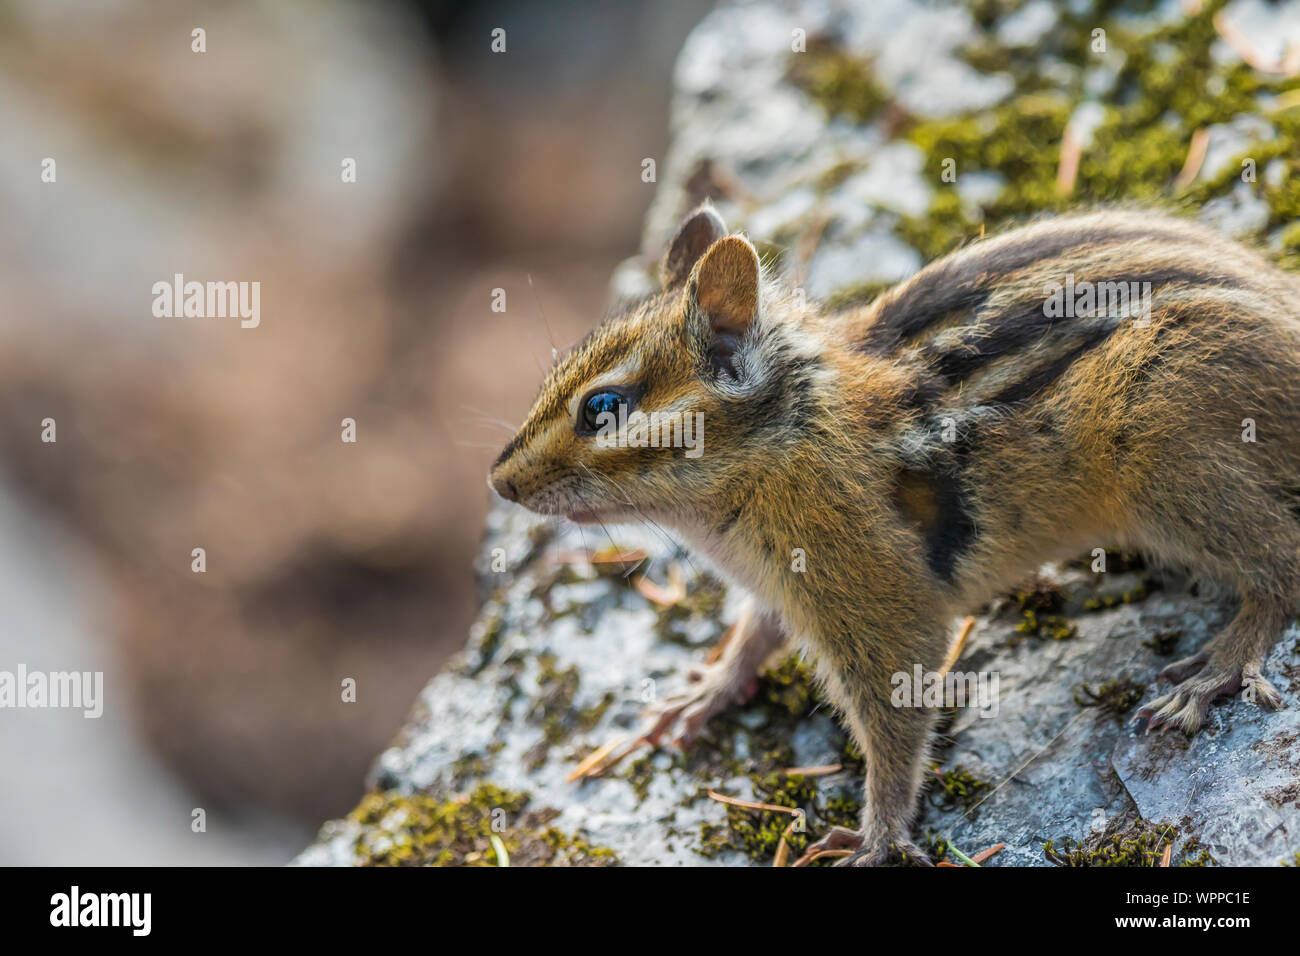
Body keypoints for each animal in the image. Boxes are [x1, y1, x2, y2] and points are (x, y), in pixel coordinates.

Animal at [489, 203, 1298, 865]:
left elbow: (894, 719)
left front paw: (875, 838)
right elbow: (755, 633)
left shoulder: (873, 595)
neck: (783, 439)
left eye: (603, 407)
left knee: (1282, 567)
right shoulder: (782, 586)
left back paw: (1219, 666)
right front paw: (702, 692)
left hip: (1166, 453)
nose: (500, 483)